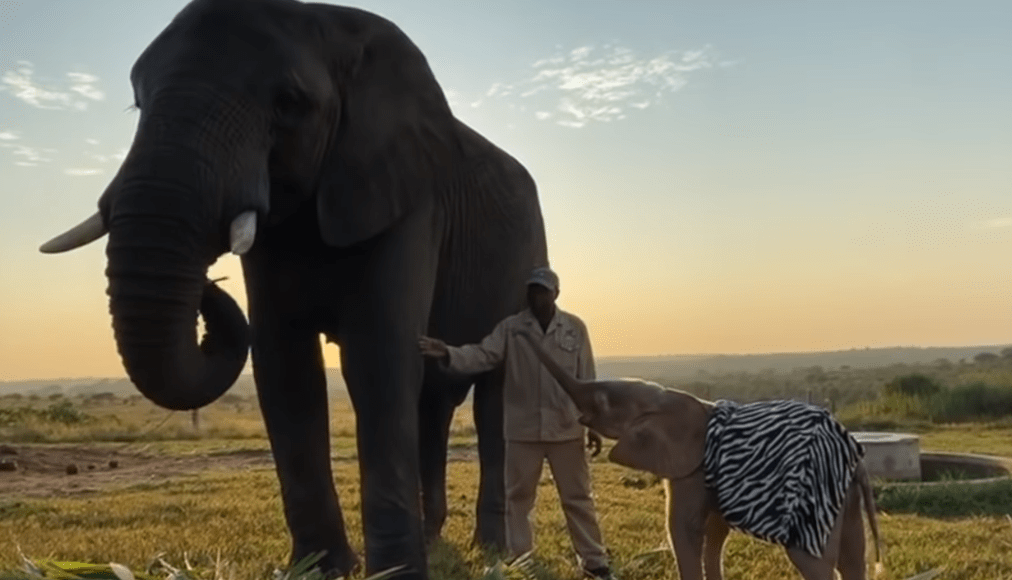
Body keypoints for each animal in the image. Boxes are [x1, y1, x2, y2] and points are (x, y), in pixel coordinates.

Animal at [38, 0, 548, 578]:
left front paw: (394, 573)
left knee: (495, 397)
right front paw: (323, 568)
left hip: (526, 252)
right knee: (432, 402)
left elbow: (378, 356)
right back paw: (437, 539)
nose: (210, 283)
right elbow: (284, 365)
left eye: (288, 103)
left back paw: (498, 551)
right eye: (137, 102)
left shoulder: (407, 199)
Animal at [515, 330, 883, 580]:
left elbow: (684, 528)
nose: (517, 331)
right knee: (853, 556)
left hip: (812, 503)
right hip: (844, 495)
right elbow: (715, 531)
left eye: (604, 401)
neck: (669, 398)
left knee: (816, 562)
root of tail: (853, 450)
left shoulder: (689, 467)